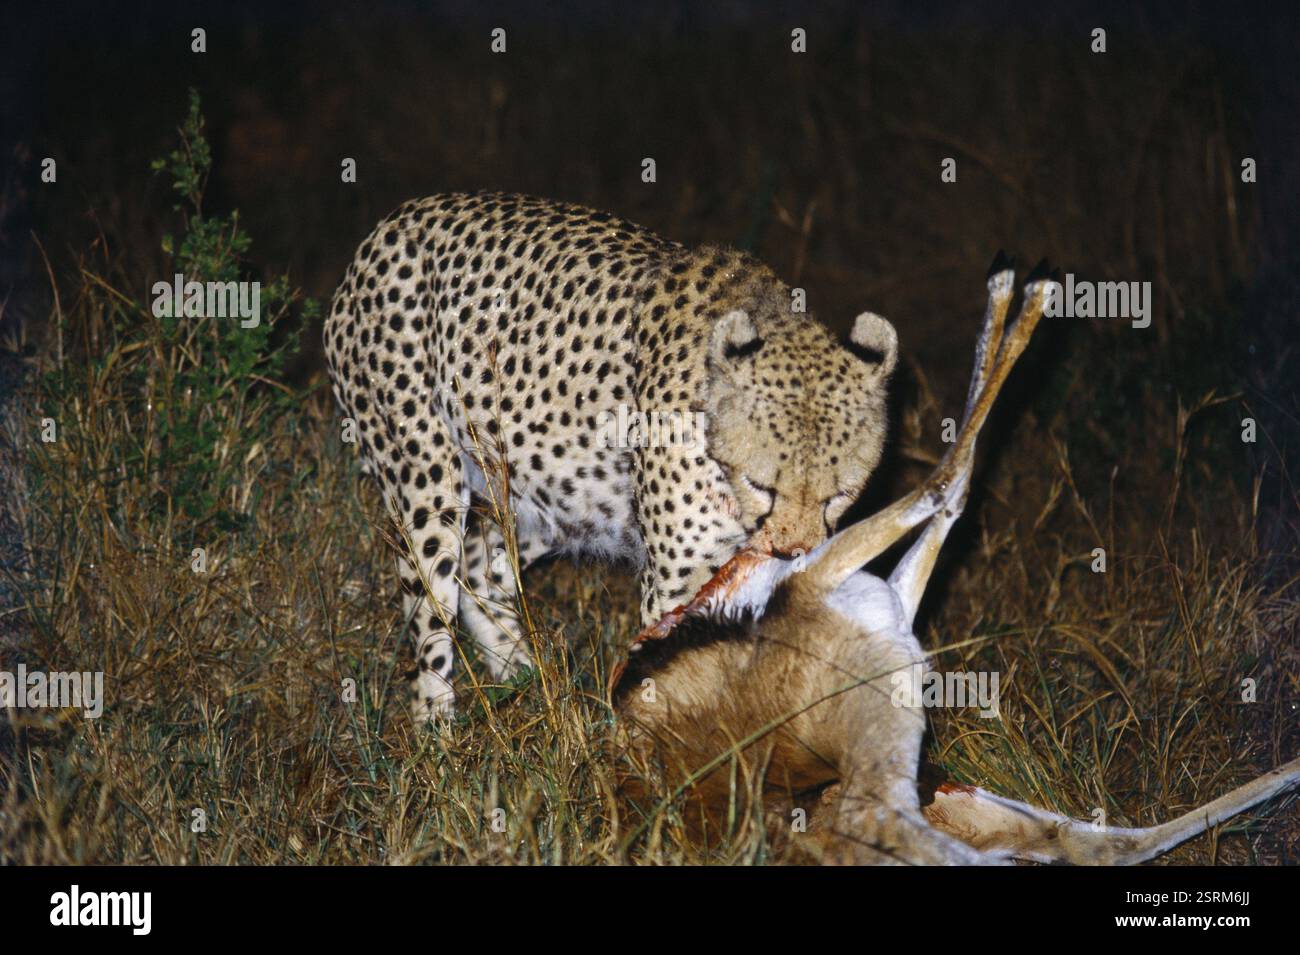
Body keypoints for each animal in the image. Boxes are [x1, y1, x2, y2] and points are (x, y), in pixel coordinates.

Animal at [323, 191, 898, 721]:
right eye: (764, 485)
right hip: (427, 480)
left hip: (551, 494)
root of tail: (398, 219)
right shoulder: (677, 585)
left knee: (480, 565)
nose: (792, 553)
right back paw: (441, 737)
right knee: (430, 627)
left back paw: (528, 678)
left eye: (841, 494)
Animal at [612, 257, 1300, 864]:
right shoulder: (833, 582)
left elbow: (957, 494)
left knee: (1103, 844)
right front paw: (1022, 292)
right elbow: (950, 481)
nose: (779, 546)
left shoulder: (878, 599)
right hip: (883, 763)